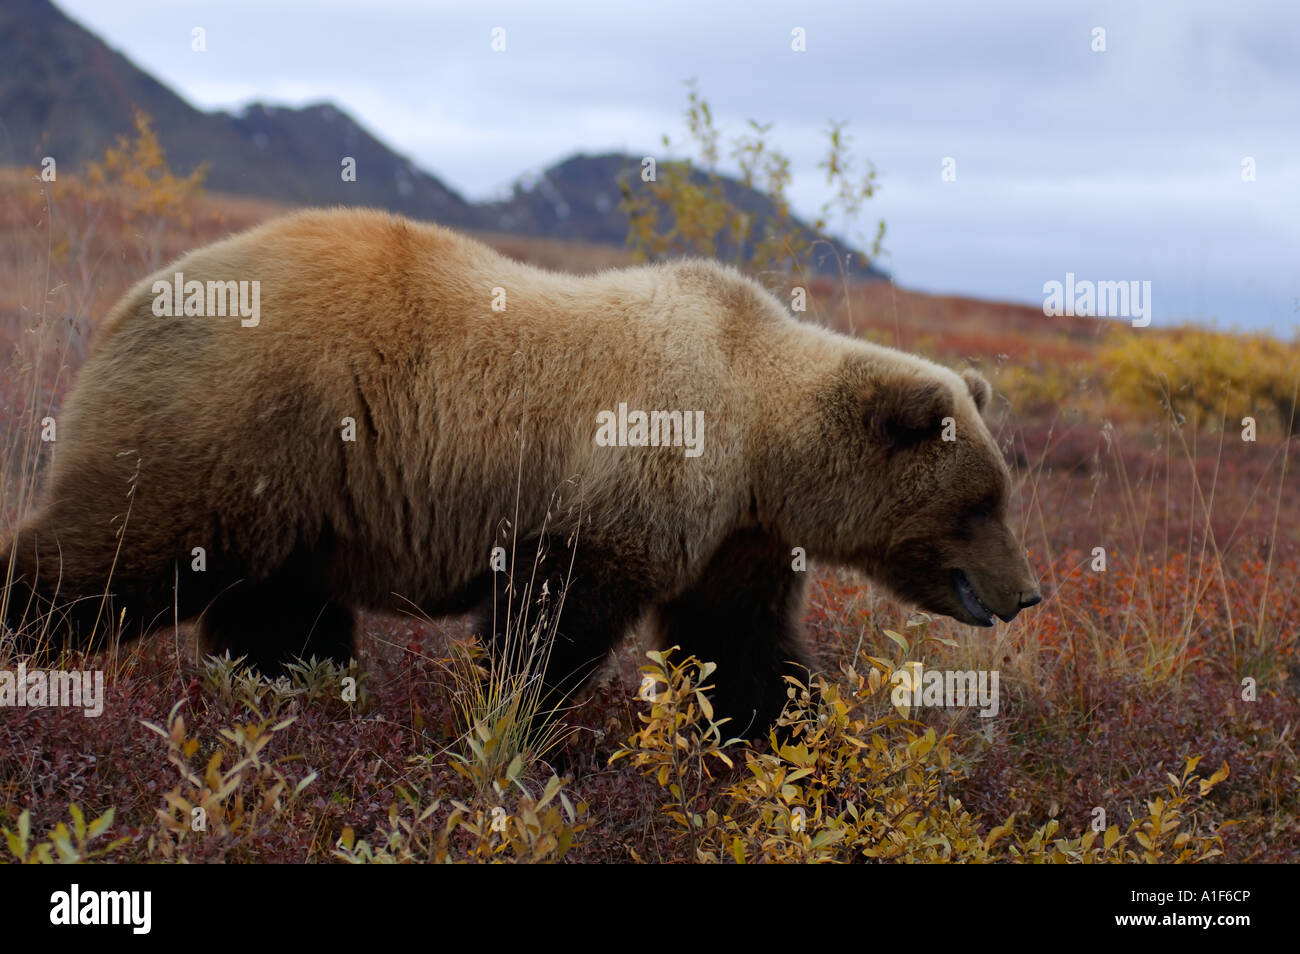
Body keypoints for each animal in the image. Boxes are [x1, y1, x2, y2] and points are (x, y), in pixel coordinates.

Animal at [0, 207, 1041, 733]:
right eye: (981, 503)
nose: (1027, 592)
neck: (756, 441)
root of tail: (137, 294)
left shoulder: (732, 537)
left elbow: (744, 652)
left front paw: (800, 754)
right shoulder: (624, 485)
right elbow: (547, 630)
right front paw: (518, 735)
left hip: (303, 497)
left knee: (277, 613)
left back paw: (290, 699)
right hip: (242, 425)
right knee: (115, 557)